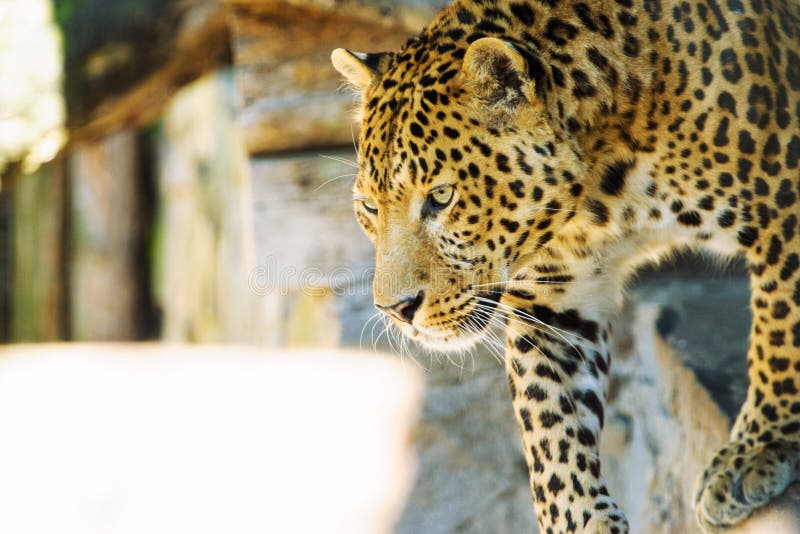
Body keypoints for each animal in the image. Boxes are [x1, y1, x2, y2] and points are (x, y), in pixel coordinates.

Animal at [330, 0, 800, 532]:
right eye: (369, 207)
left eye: (442, 197)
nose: (395, 310)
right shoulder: (555, 295)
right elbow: (548, 413)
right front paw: (579, 517)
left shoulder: (786, 211)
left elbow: (781, 338)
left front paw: (759, 450)